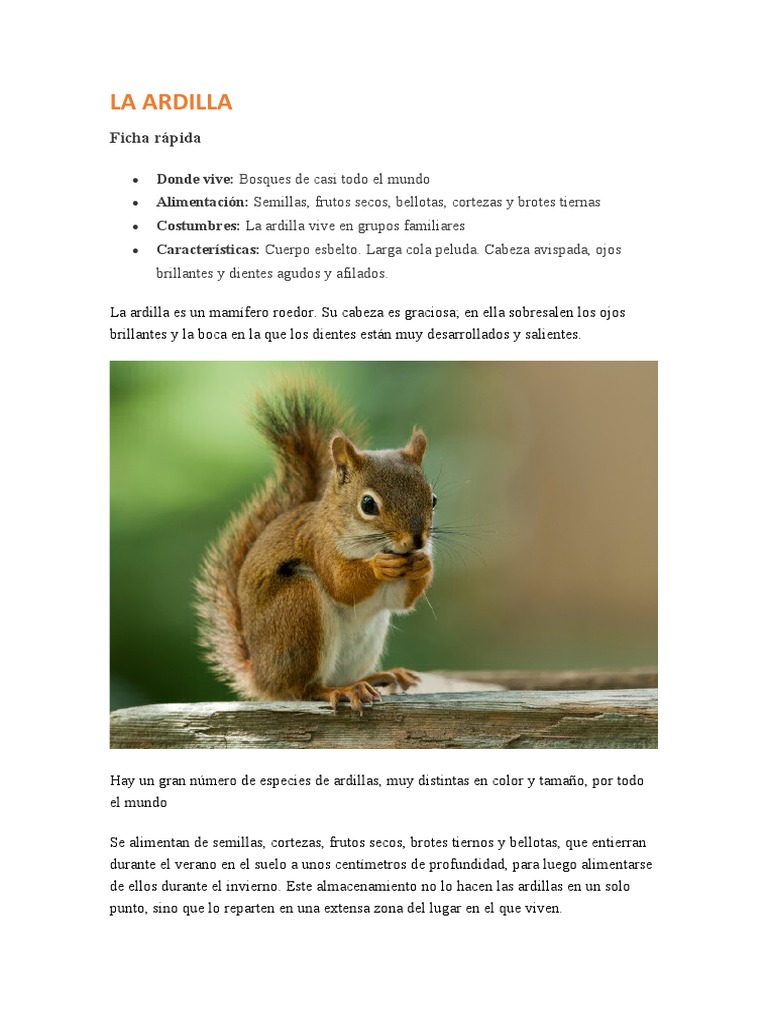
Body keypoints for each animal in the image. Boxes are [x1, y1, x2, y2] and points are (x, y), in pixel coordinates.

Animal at [195, 382, 435, 711]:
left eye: (433, 499)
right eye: (368, 504)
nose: (417, 540)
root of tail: (262, 677)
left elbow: (402, 601)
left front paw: (424, 564)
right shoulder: (319, 546)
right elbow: (343, 584)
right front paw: (378, 566)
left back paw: (377, 677)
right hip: (299, 609)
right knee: (304, 688)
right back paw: (341, 691)